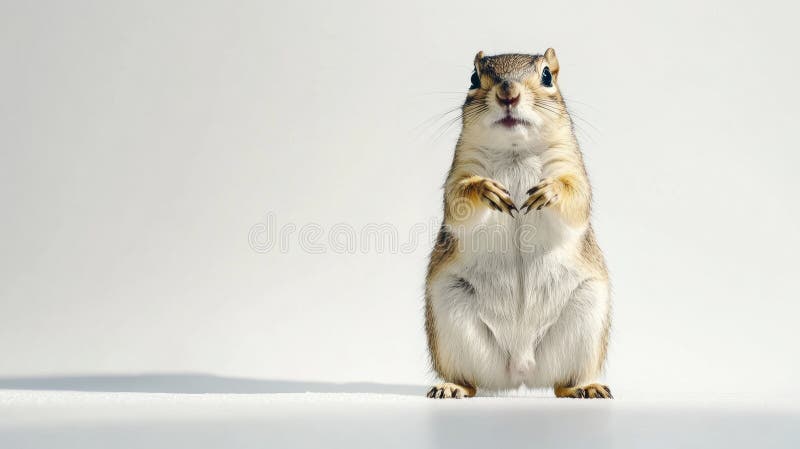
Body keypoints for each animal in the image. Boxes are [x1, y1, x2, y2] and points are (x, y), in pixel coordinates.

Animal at [424, 49, 612, 399]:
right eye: (473, 78)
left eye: (547, 76)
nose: (507, 93)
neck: (515, 152)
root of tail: (521, 371)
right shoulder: (460, 171)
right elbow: (458, 201)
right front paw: (486, 190)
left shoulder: (571, 167)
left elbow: (576, 197)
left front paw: (550, 191)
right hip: (451, 316)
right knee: (470, 380)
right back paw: (452, 386)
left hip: (585, 318)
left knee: (562, 384)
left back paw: (585, 387)